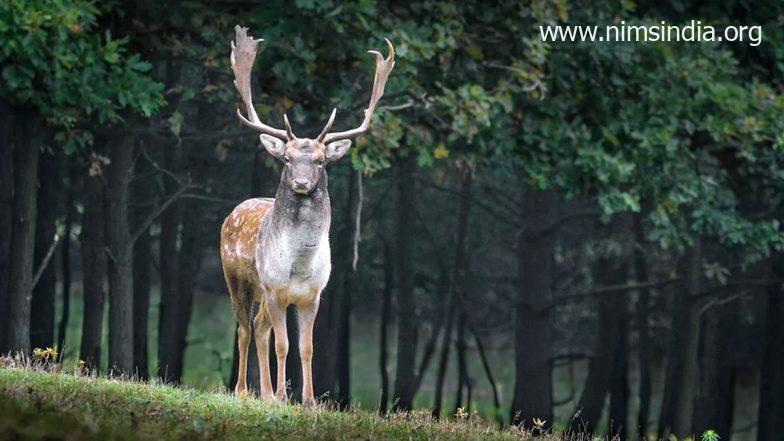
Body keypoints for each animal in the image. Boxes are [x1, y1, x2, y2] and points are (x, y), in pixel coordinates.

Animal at [219, 24, 392, 406]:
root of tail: (233, 211)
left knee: (259, 327)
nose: (300, 182)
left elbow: (307, 347)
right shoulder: (275, 289)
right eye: (286, 159)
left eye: (321, 161)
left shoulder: (313, 295)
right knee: (244, 328)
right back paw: (244, 390)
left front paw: (309, 401)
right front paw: (285, 396)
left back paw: (265, 393)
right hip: (237, 279)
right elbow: (283, 345)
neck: (298, 267)